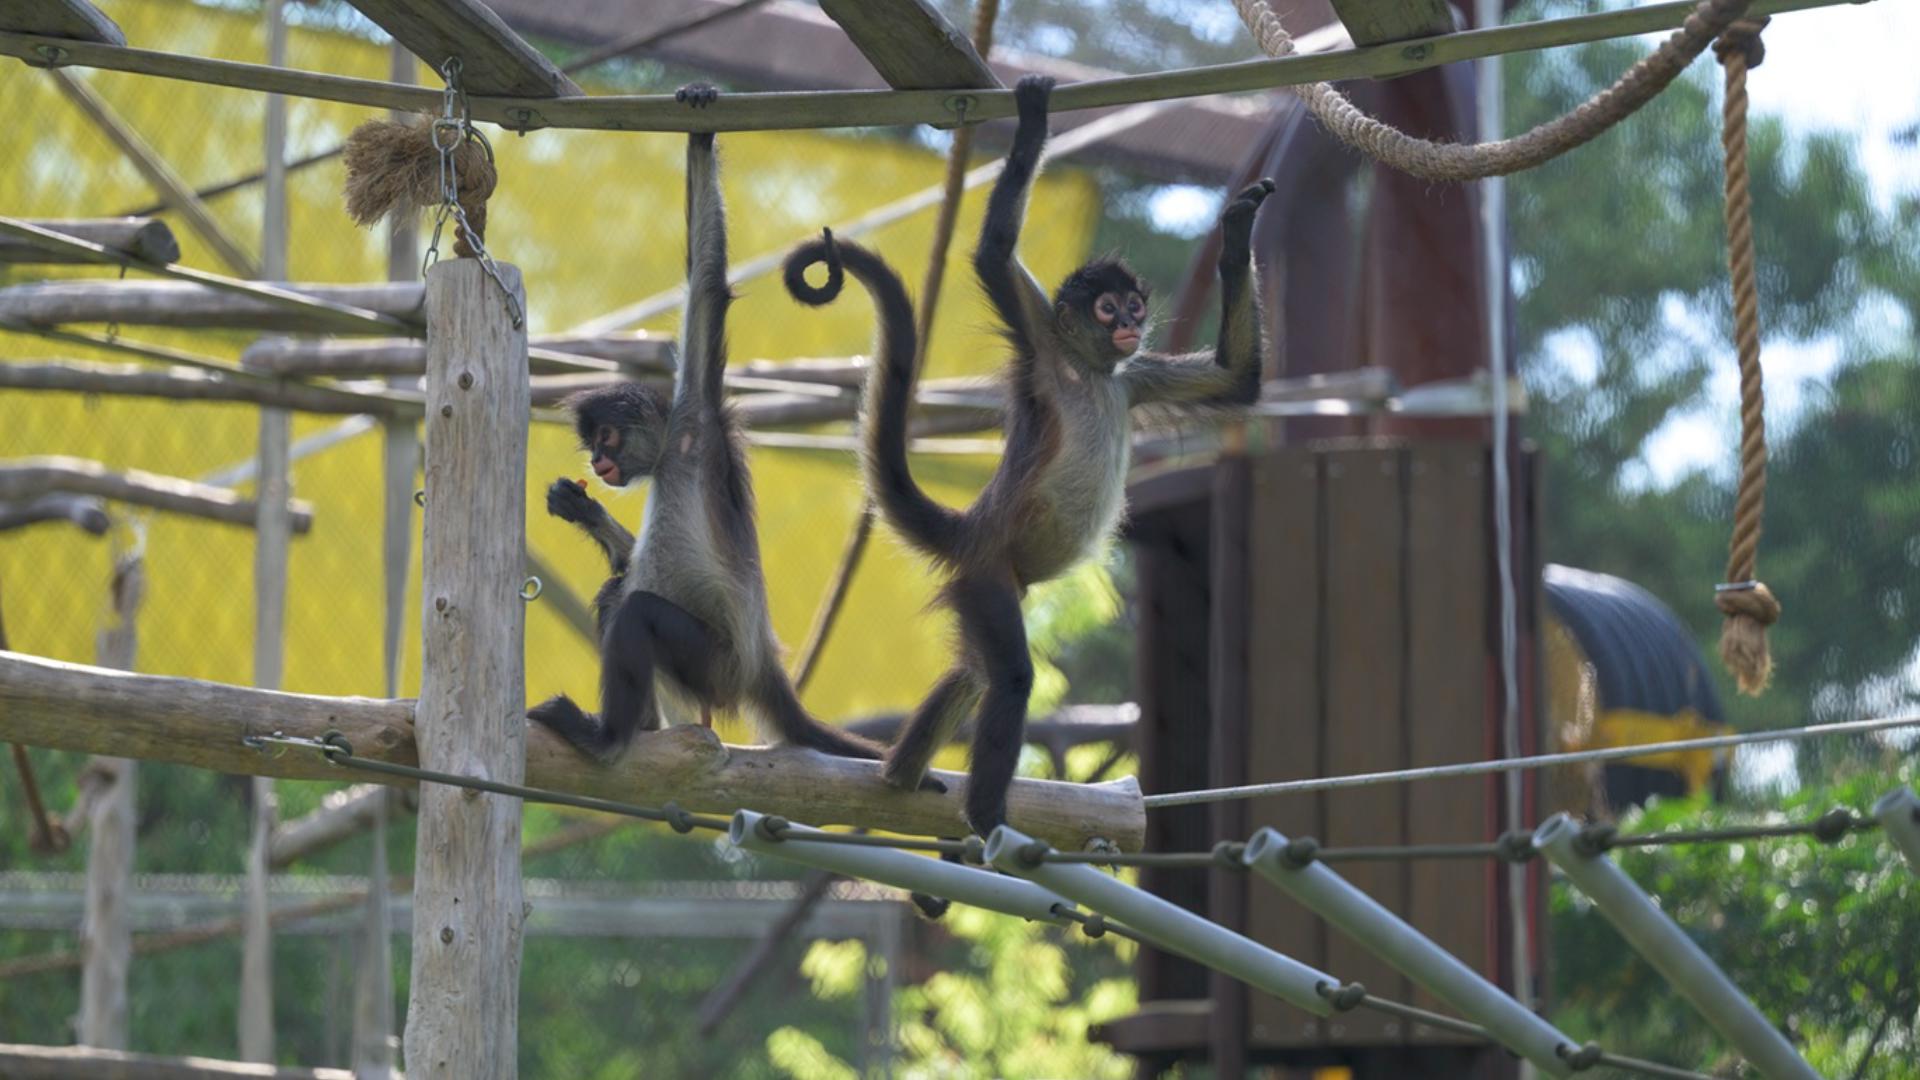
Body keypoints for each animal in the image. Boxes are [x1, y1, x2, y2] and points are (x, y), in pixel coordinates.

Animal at [529, 84, 882, 764]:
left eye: (605, 439)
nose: (598, 465)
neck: (672, 452)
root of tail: (761, 667)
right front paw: (581, 508)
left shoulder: (697, 412)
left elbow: (706, 282)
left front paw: (699, 127)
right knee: (616, 593)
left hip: (715, 665)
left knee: (634, 607)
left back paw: (608, 739)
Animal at [783, 74, 1274, 838]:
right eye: (1106, 308)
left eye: (1134, 307)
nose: (1129, 323)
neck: (1090, 373)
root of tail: (975, 526)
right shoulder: (1043, 351)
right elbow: (990, 252)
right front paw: (1033, 117)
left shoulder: (1133, 379)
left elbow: (1239, 381)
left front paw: (1237, 233)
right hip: (988, 580)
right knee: (1007, 677)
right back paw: (985, 818)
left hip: (998, 583)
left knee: (975, 673)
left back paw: (899, 776)